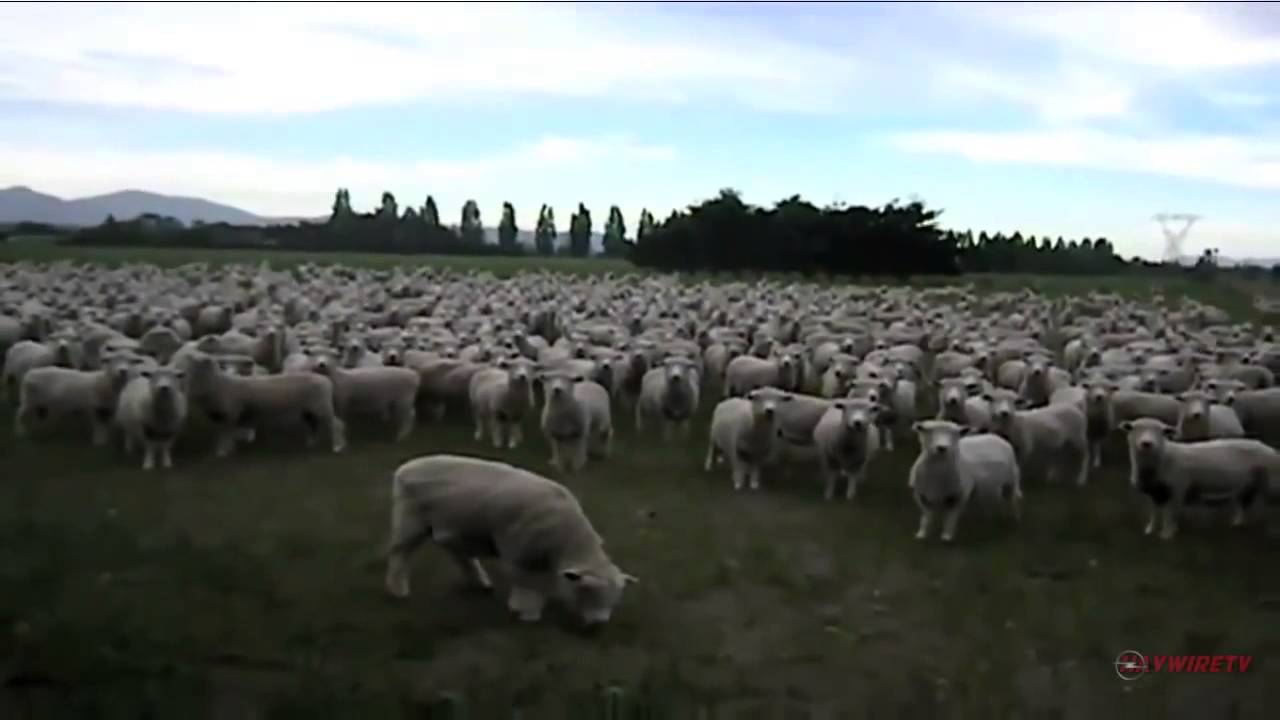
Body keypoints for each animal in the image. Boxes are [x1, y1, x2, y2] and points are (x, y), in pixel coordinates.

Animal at [184, 353, 345, 458]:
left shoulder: (230, 415)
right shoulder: (227, 417)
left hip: (322, 406)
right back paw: (310, 445)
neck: (219, 385)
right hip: (310, 410)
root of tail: (326, 380)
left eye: (200, 368)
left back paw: (337, 447)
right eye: (190, 369)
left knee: (337, 424)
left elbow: (225, 436)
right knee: (313, 425)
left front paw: (222, 453)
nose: (191, 393)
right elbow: (227, 434)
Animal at [383, 454, 637, 625]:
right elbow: (527, 584)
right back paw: (397, 589)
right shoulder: (520, 552)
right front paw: (527, 612)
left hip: (452, 528)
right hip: (409, 521)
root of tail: (405, 468)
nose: (598, 625)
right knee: (399, 553)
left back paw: (480, 583)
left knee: (459, 554)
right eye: (589, 592)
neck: (566, 539)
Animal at [1119, 418, 1280, 540]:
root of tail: (1269, 449)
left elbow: (1169, 514)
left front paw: (1167, 534)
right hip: (1250, 485)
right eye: (1134, 429)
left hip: (1272, 484)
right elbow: (1155, 512)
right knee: (1245, 504)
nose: (1147, 443)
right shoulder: (1156, 492)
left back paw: (1273, 531)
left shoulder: (1177, 490)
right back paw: (1237, 524)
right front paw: (1150, 530)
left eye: (1162, 432)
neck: (1165, 457)